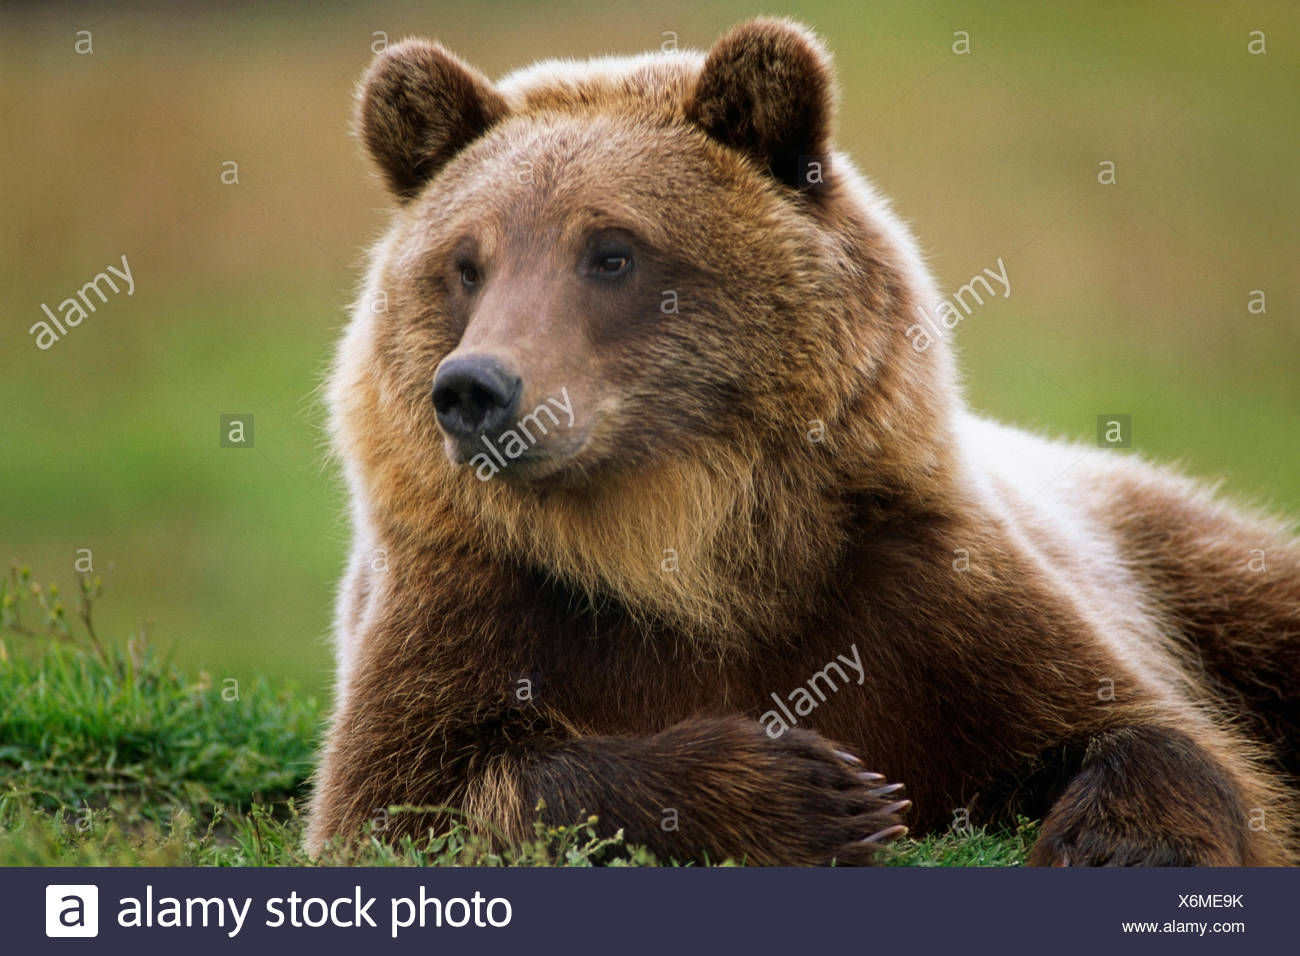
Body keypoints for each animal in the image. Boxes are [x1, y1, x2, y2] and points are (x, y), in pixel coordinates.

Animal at [306, 18, 1300, 866]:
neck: (679, 543)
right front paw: (812, 792)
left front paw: (1121, 844)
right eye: (466, 263)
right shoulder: (480, 602)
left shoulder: (920, 587)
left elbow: (1146, 726)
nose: (474, 389)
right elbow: (416, 794)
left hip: (1166, 546)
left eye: (612, 251)